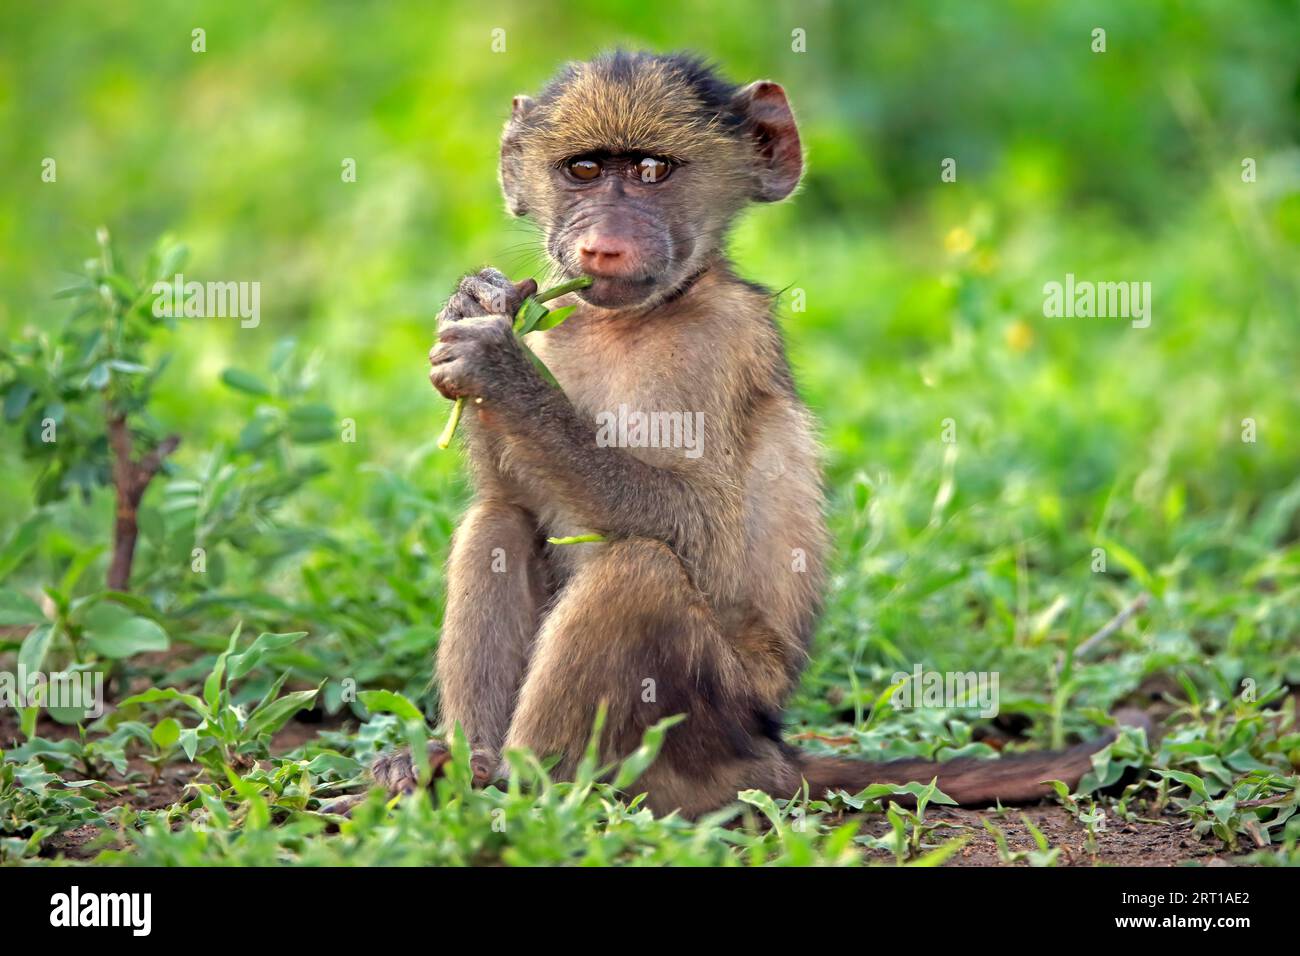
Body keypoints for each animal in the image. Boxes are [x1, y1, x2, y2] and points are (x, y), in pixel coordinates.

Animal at [363, 51, 1141, 819]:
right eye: (582, 169)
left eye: (652, 171)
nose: (602, 246)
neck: (638, 318)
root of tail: (768, 748)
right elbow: (511, 497)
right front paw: (477, 304)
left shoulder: (718, 344)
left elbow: (700, 527)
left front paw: (497, 363)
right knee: (497, 522)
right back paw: (459, 762)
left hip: (709, 714)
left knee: (638, 569)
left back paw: (520, 789)